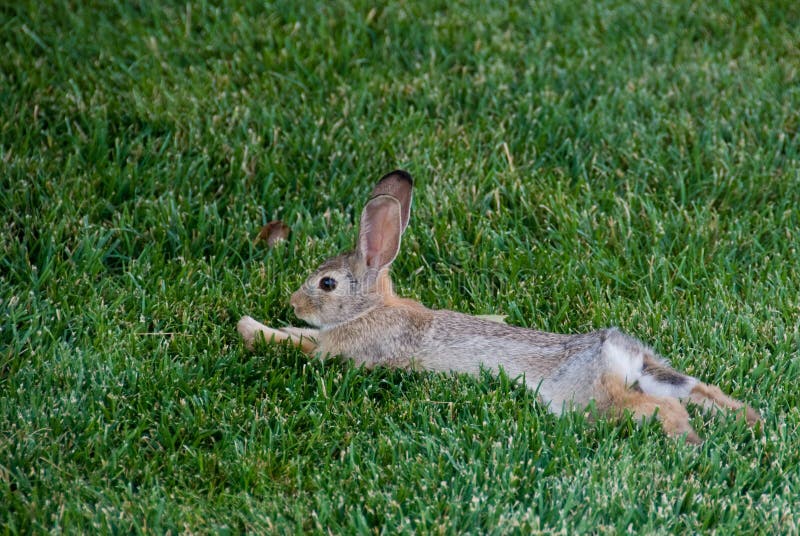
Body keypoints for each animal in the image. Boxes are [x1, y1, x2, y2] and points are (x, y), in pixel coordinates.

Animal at [238, 170, 762, 444]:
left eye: (325, 284)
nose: (293, 300)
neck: (369, 307)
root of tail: (617, 351)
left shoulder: (347, 352)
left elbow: (302, 345)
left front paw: (251, 329)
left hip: (585, 399)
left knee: (653, 407)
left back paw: (687, 440)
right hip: (655, 372)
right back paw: (748, 421)